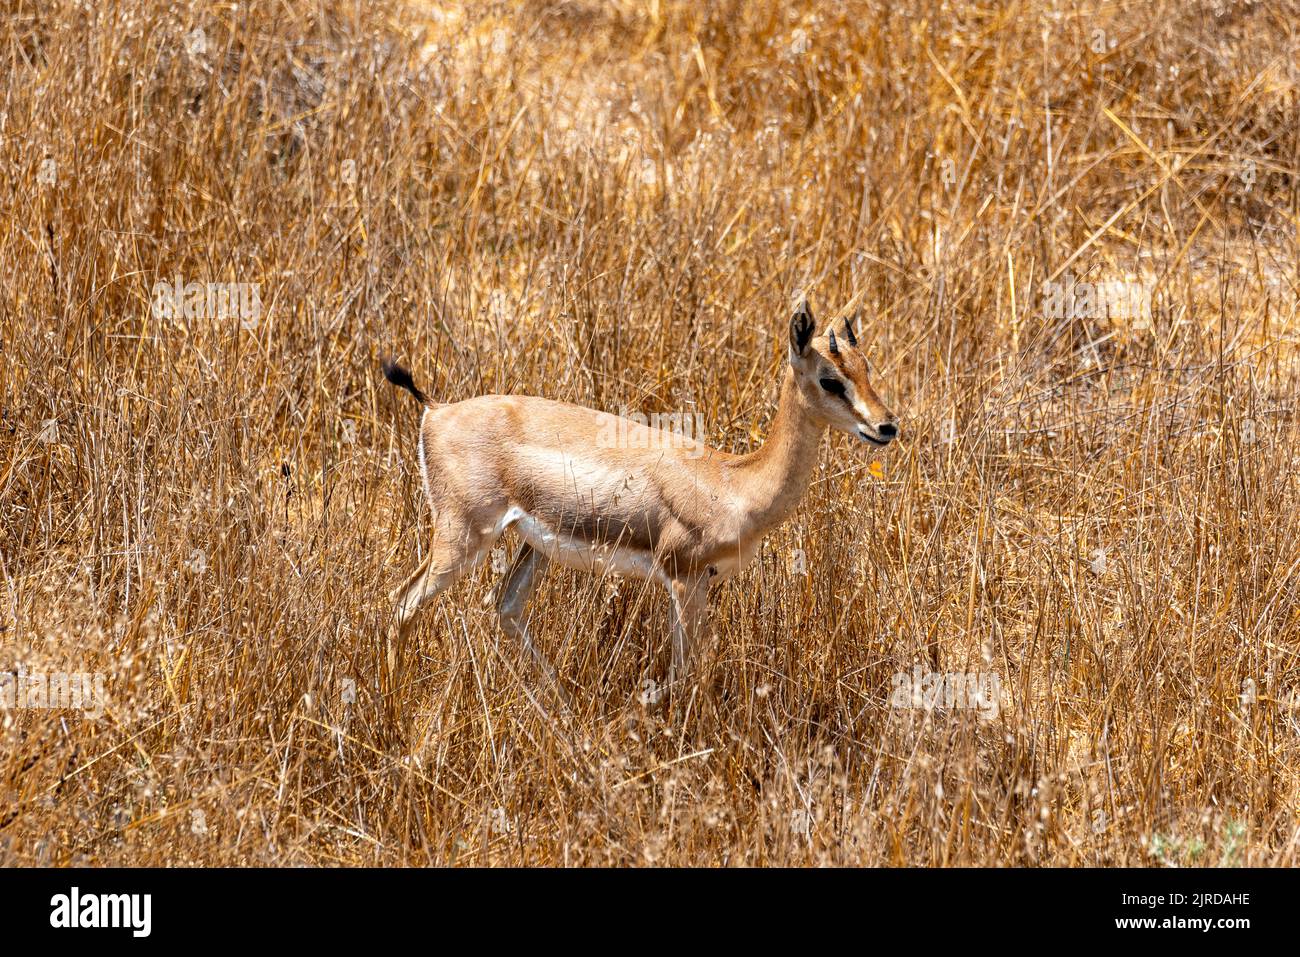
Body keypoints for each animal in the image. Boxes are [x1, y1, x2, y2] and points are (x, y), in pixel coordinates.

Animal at [383, 302, 898, 704]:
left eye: (867, 368)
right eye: (830, 379)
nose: (887, 426)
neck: (734, 483)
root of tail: (436, 411)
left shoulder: (695, 584)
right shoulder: (684, 579)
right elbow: (690, 669)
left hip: (536, 547)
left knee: (504, 606)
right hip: (463, 538)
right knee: (403, 602)